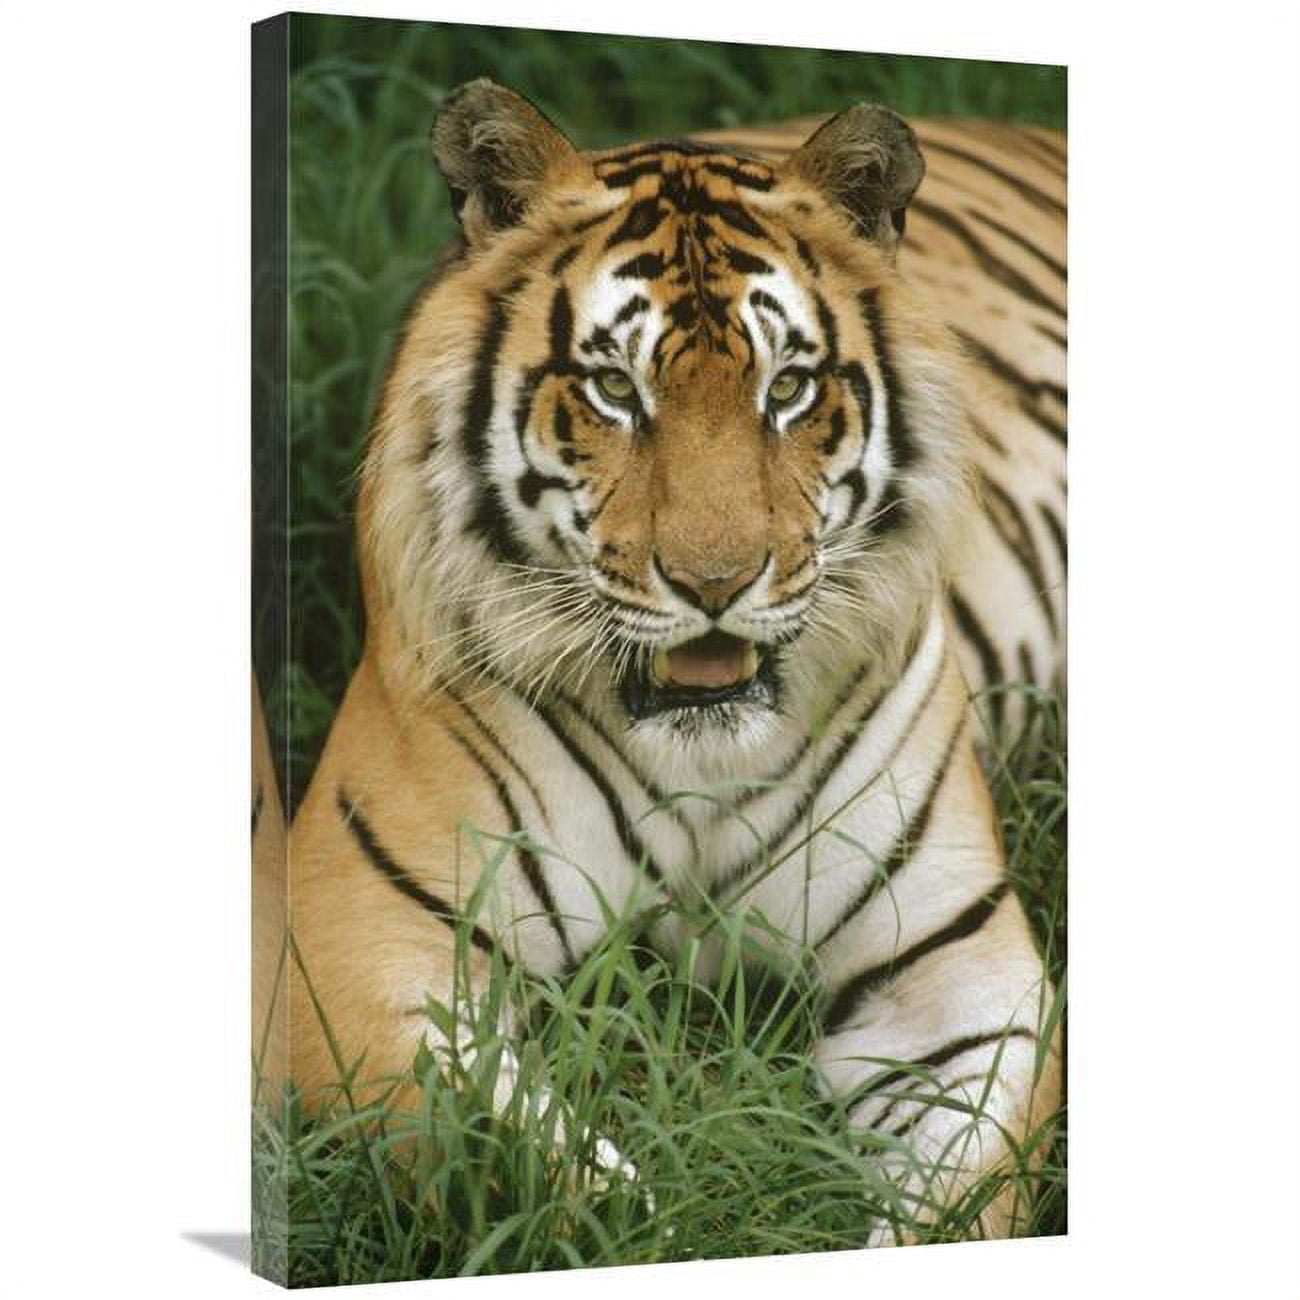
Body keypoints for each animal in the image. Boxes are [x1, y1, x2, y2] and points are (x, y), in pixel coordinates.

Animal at [268, 78, 1066, 1243]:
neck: (702, 763)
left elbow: (956, 1197)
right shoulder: (359, 947)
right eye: (612, 389)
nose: (715, 583)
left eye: (788, 388)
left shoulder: (962, 966)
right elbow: (562, 1186)